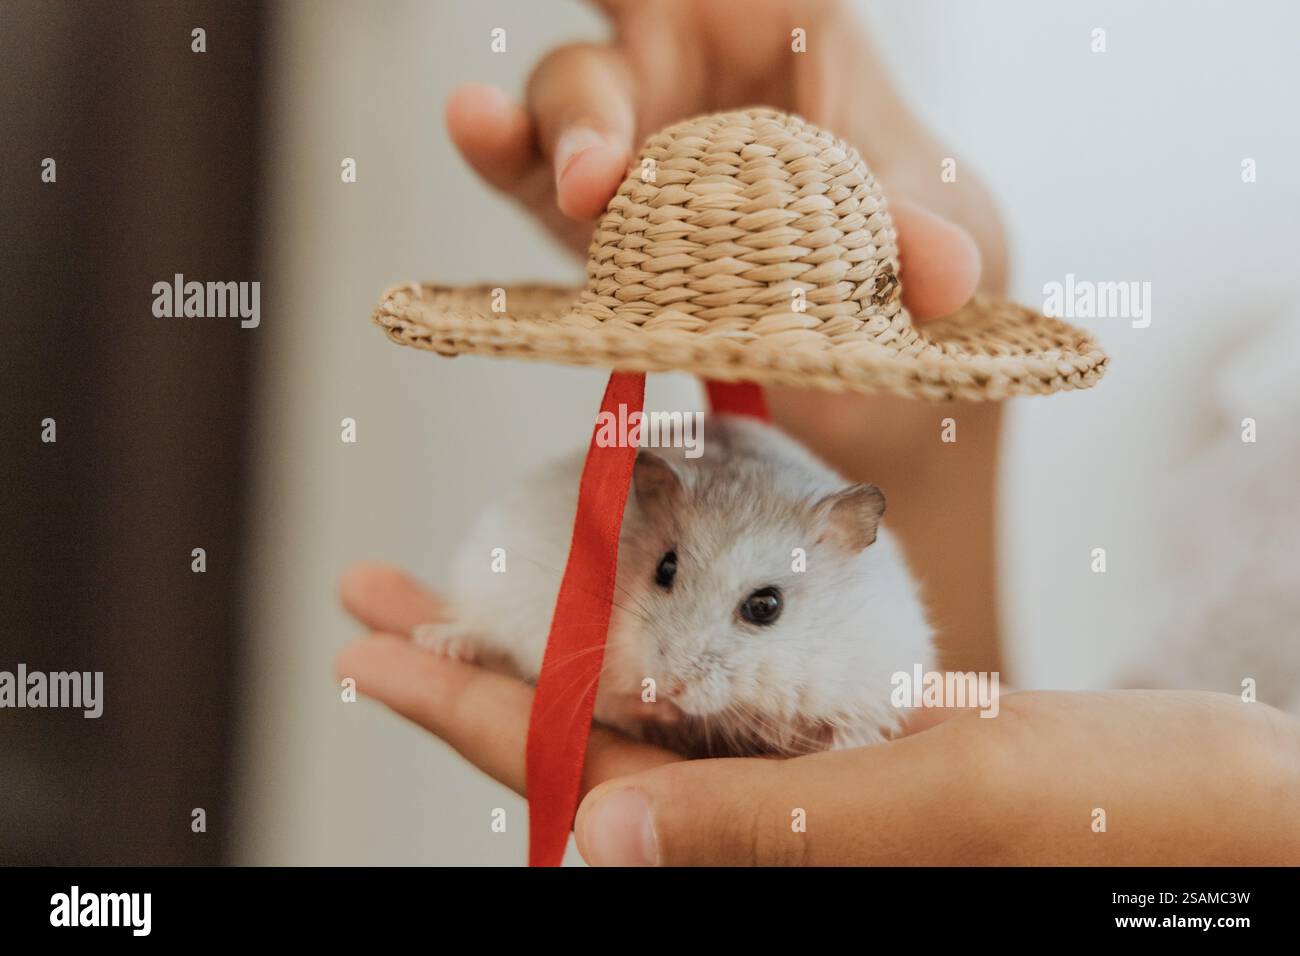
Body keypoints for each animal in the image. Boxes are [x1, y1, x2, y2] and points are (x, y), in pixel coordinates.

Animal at [416, 414, 935, 758]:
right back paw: (441, 644)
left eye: (766, 605)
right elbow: (614, 699)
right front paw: (658, 711)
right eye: (665, 569)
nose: (666, 686)